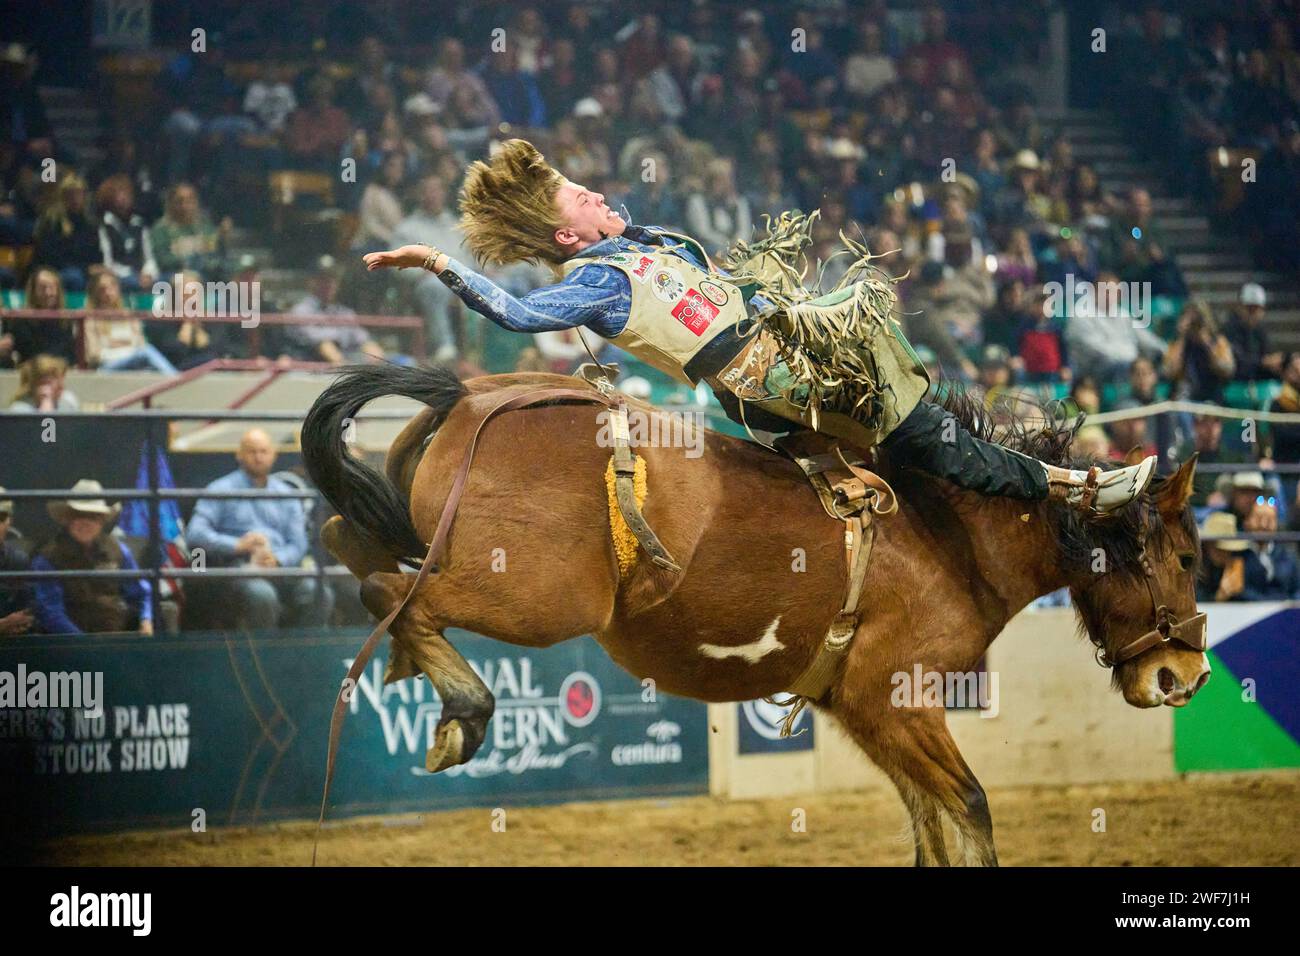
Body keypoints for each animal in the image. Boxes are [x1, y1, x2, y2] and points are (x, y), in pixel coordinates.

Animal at [301, 363, 1211, 866]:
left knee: (350, 540)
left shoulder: (867, 714)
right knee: (395, 596)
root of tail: (468, 393)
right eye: (1189, 558)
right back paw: (465, 707)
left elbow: (934, 826)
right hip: (535, 595)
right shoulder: (897, 701)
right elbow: (970, 810)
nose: (1187, 675)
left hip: (429, 534)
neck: (944, 530)